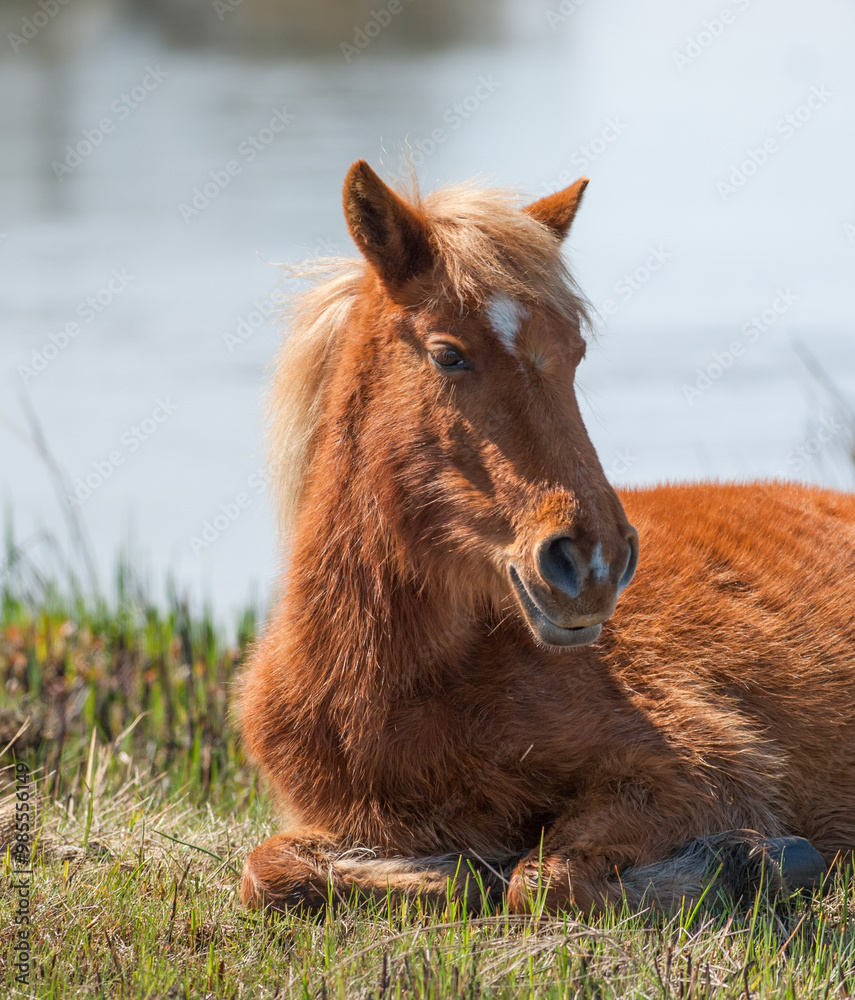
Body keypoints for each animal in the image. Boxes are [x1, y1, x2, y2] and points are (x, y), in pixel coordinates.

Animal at [238, 160, 855, 915]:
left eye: (574, 353)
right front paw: (444, 872)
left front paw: (755, 862)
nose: (593, 563)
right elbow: (267, 870)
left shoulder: (700, 774)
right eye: (448, 354)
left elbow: (540, 880)